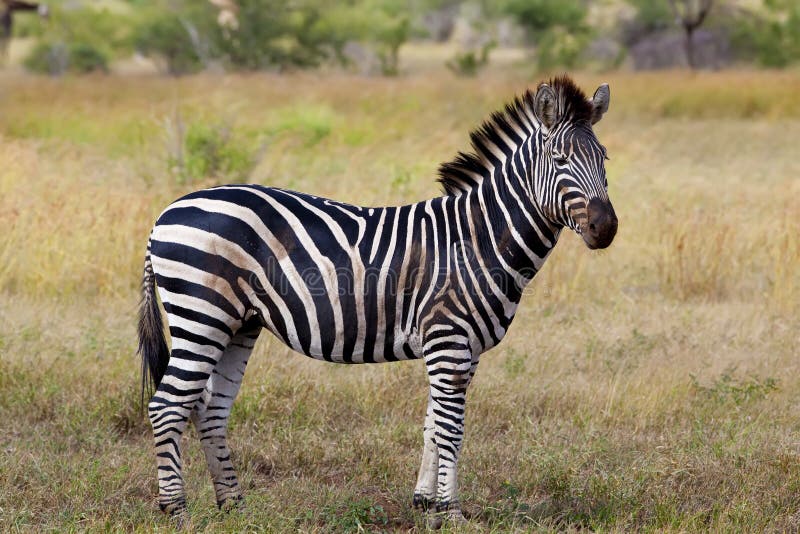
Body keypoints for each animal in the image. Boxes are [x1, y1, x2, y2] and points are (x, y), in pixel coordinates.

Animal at [137, 75, 618, 525]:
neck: (477, 239)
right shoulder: (448, 340)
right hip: (201, 314)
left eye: (604, 159)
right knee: (167, 406)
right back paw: (177, 511)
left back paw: (233, 505)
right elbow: (451, 429)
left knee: (211, 408)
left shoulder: (464, 350)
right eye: (559, 160)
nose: (606, 228)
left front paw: (425, 503)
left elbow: (432, 425)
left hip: (239, 323)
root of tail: (167, 211)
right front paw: (452, 511)